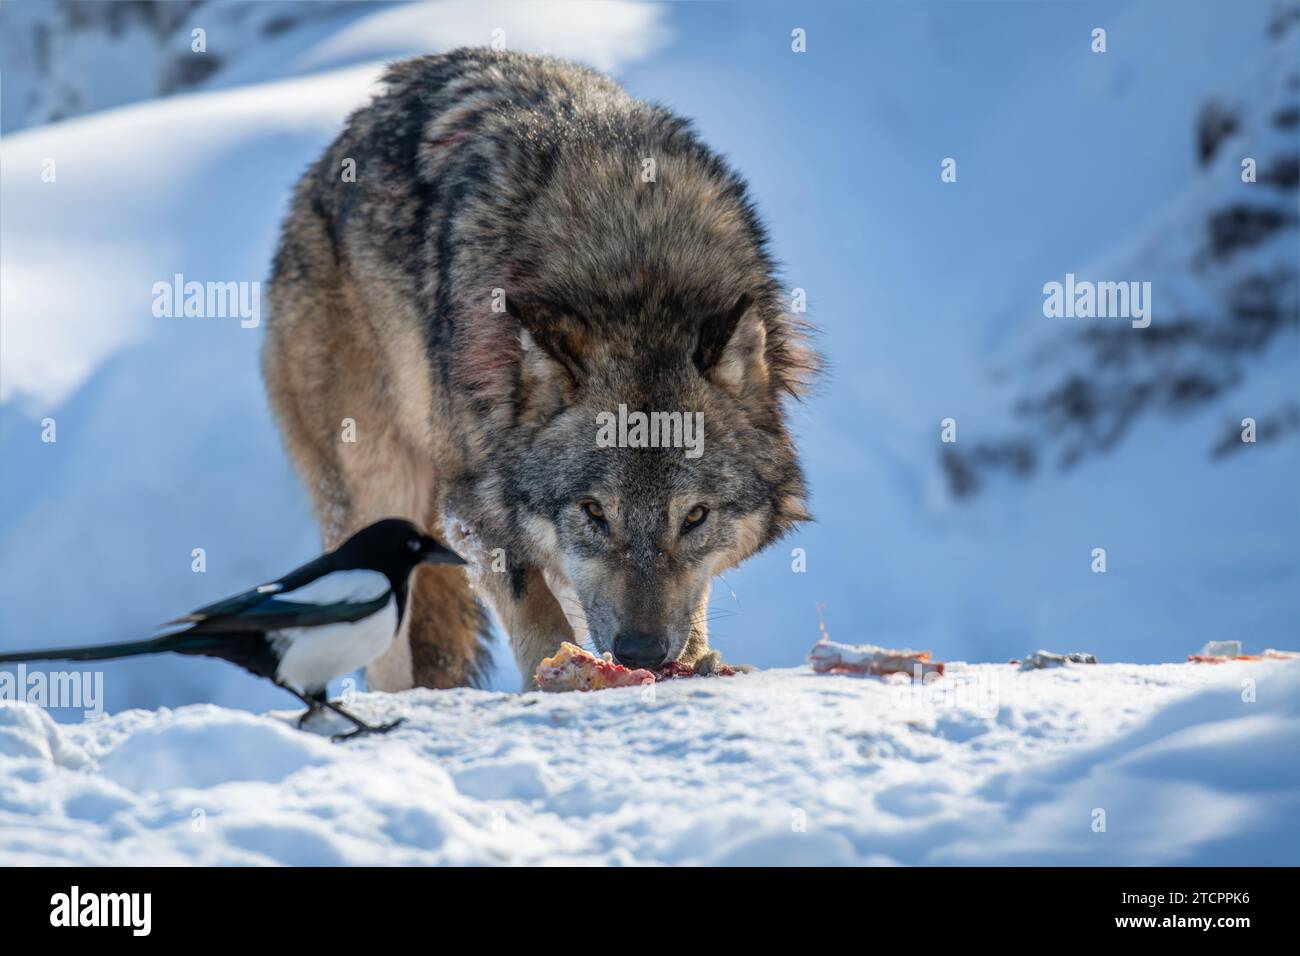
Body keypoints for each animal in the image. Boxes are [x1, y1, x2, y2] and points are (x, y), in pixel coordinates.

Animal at [263, 49, 817, 690]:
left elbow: (691, 601)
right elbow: (536, 612)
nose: (642, 652)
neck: (636, 276)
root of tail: (328, 161)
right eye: (594, 512)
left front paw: (695, 665)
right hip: (379, 478)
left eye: (696, 516)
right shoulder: (474, 503)